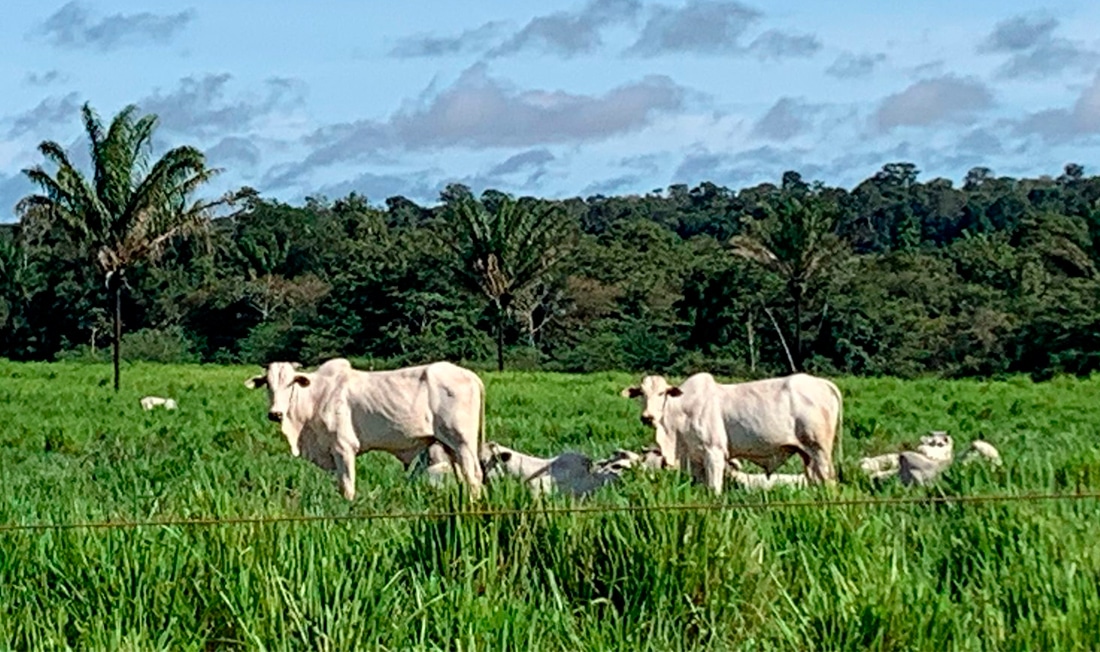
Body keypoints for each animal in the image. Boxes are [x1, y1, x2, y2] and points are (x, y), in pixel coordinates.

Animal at [246, 359, 485, 500]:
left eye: (291, 383)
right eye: (268, 384)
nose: (275, 414)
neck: (316, 396)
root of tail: (471, 375)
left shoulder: (343, 448)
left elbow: (347, 486)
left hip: (463, 442)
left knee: (474, 475)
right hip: (449, 444)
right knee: (463, 476)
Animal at [621, 373, 843, 494]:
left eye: (662, 393)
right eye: (641, 393)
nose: (647, 417)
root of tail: (824, 383)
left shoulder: (715, 452)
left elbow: (714, 489)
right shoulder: (695, 459)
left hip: (820, 449)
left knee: (829, 479)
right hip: (807, 454)